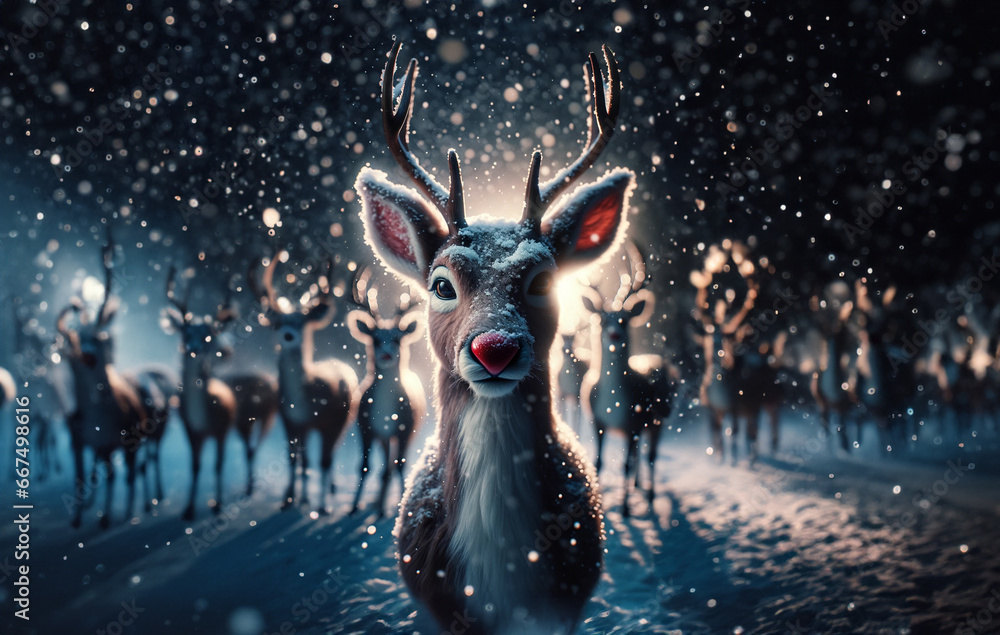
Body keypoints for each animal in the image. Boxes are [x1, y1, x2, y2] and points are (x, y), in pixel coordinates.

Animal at [56, 230, 147, 529]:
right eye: (76, 343)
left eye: (99, 338)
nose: (90, 356)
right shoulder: (77, 439)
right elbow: (79, 477)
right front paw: (75, 518)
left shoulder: (115, 441)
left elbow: (114, 476)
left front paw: (106, 518)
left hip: (131, 442)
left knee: (129, 472)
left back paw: (129, 511)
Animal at [250, 251, 358, 512]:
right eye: (277, 323)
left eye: (302, 323)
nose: (288, 335)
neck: (304, 400)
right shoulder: (289, 420)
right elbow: (294, 459)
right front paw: (289, 499)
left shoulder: (330, 421)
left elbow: (322, 461)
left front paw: (322, 506)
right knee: (307, 458)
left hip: (344, 419)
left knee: (329, 457)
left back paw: (329, 491)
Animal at [346, 267, 426, 517]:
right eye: (374, 339)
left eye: (398, 339)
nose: (387, 354)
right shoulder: (365, 425)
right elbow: (364, 466)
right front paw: (354, 506)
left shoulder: (405, 427)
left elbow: (400, 465)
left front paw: (400, 503)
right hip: (383, 436)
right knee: (385, 466)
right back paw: (377, 504)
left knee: (393, 465)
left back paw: (384, 506)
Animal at [580, 241, 670, 516]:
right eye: (600, 319)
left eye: (625, 319)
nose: (614, 334)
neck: (614, 404)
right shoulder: (598, 421)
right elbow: (599, 461)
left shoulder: (634, 422)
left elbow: (625, 466)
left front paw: (626, 509)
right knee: (638, 455)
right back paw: (639, 486)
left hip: (659, 420)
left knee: (650, 456)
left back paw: (649, 495)